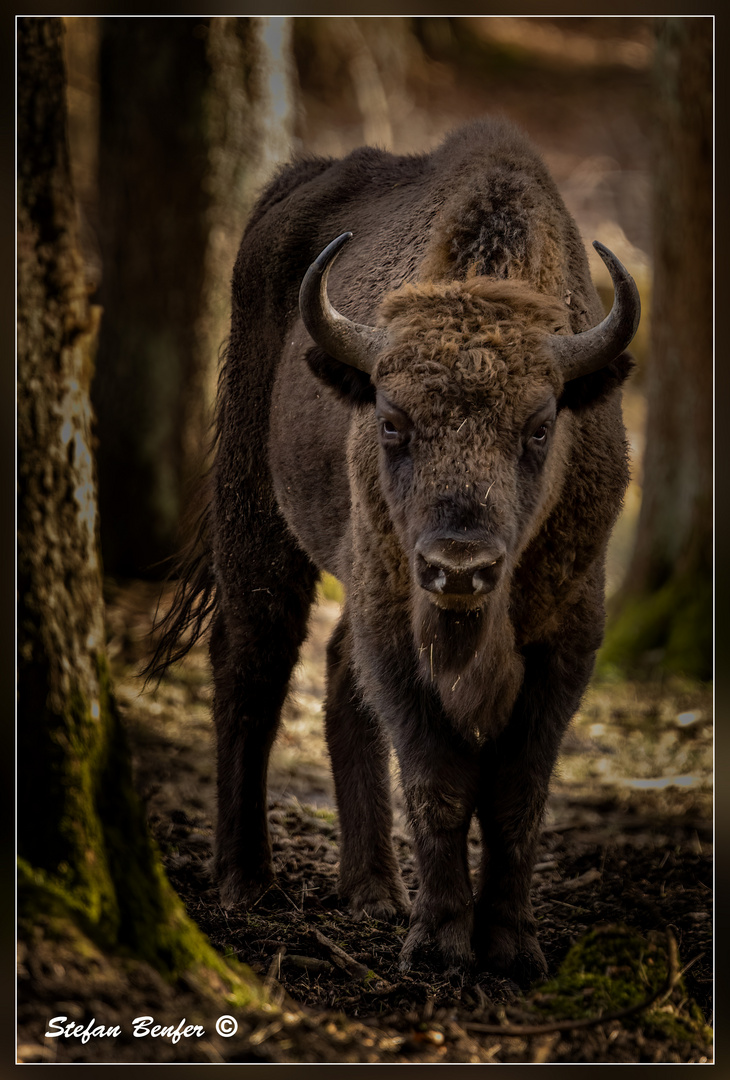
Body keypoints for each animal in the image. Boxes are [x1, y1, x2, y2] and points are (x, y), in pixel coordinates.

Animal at [150, 118, 639, 989]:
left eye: (539, 426)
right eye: (391, 421)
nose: (459, 565)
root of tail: (292, 187)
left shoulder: (568, 635)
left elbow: (517, 793)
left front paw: (512, 946)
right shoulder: (398, 626)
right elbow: (438, 779)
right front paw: (440, 941)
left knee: (338, 674)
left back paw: (372, 888)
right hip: (258, 519)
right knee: (253, 663)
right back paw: (247, 880)